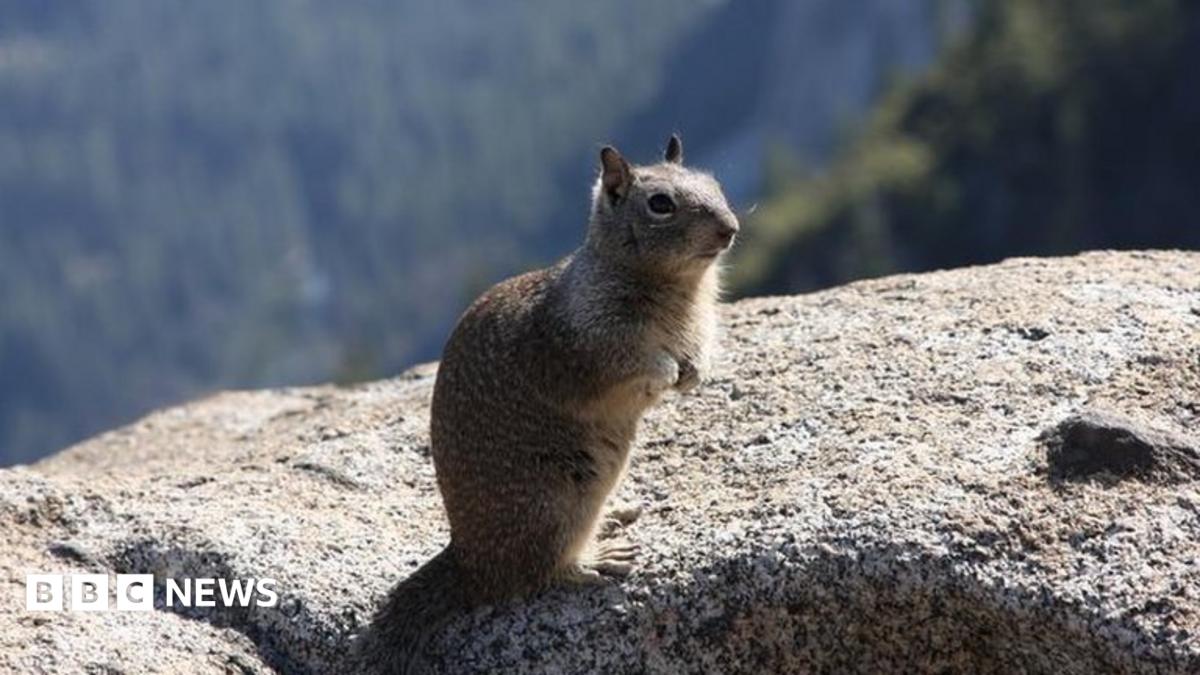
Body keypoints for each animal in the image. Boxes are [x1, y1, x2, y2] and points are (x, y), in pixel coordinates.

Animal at [352, 134, 739, 674]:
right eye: (660, 204)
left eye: (714, 184)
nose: (731, 229)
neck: (677, 291)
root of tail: (470, 565)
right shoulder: (588, 343)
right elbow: (627, 364)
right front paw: (665, 370)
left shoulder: (698, 325)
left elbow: (695, 355)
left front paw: (694, 373)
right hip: (555, 504)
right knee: (542, 572)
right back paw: (598, 557)